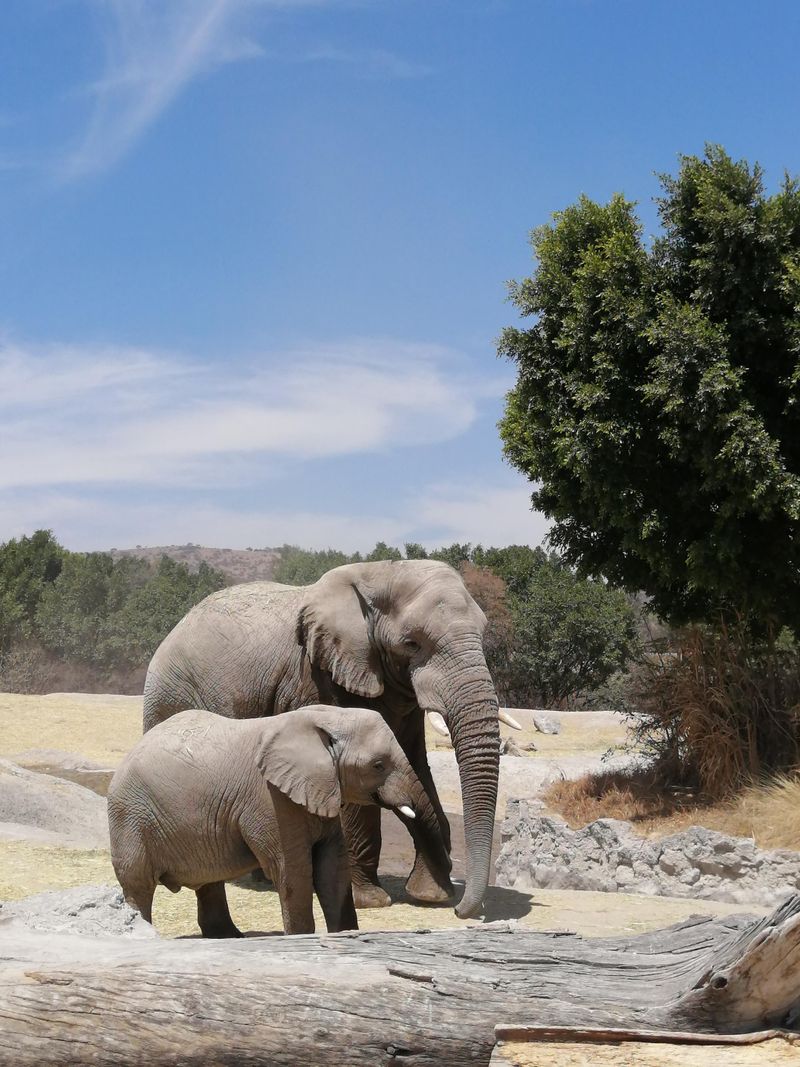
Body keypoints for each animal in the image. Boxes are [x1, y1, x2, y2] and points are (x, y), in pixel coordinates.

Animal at [107, 704, 440, 936]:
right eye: (378, 765)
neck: (323, 718)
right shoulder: (269, 798)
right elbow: (294, 872)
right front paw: (301, 939)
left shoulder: (318, 791)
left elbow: (332, 868)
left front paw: (345, 937)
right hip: (130, 816)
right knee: (138, 883)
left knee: (210, 878)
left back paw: (230, 938)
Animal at [143, 560, 517, 919]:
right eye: (412, 643)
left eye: (482, 633)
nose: (462, 910)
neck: (379, 572)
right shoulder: (316, 678)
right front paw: (373, 901)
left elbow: (415, 764)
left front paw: (430, 895)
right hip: (169, 698)